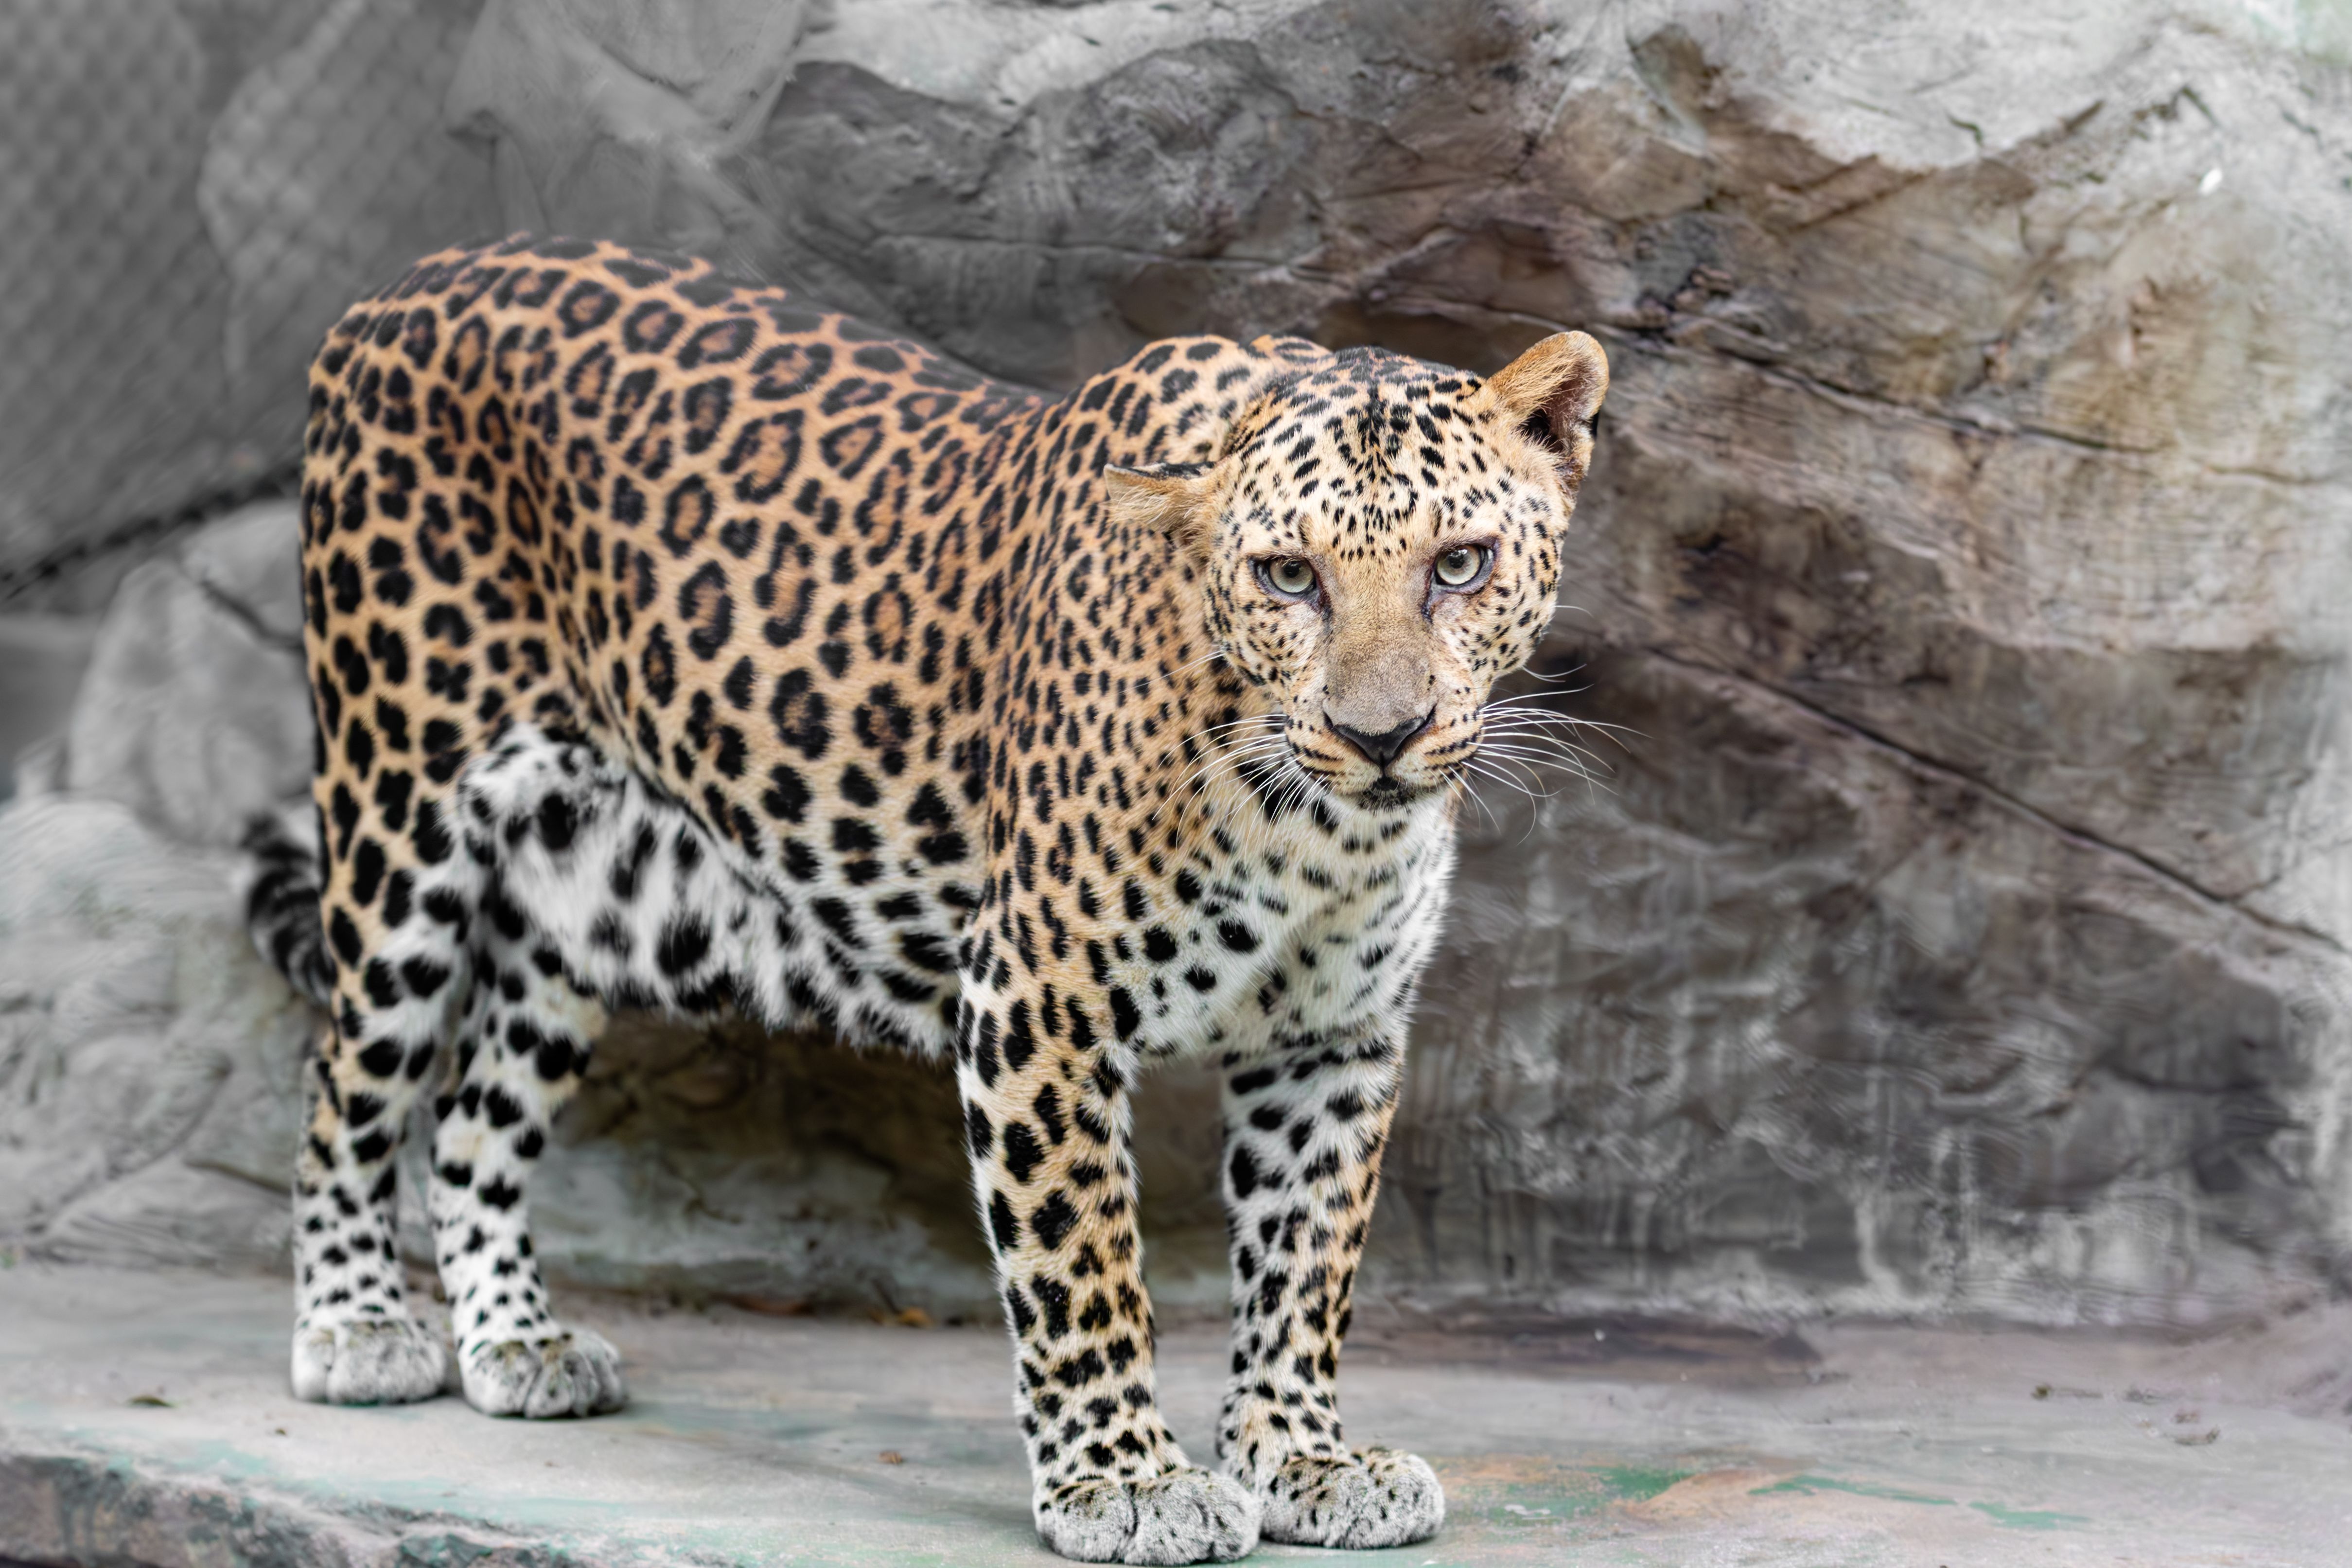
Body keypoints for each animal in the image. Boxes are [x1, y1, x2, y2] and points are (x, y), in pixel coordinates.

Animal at [243, 232, 1608, 1565]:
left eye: (1460, 565)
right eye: (1287, 577)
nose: (1381, 737)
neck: (1317, 829)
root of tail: (399, 285)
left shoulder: (1335, 1032)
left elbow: (1307, 1256)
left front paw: (1304, 1455)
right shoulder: (1039, 999)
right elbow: (1082, 1255)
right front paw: (1126, 1483)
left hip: (593, 893)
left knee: (473, 1121)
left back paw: (519, 1343)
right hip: (400, 817)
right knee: (346, 1093)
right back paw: (357, 1328)